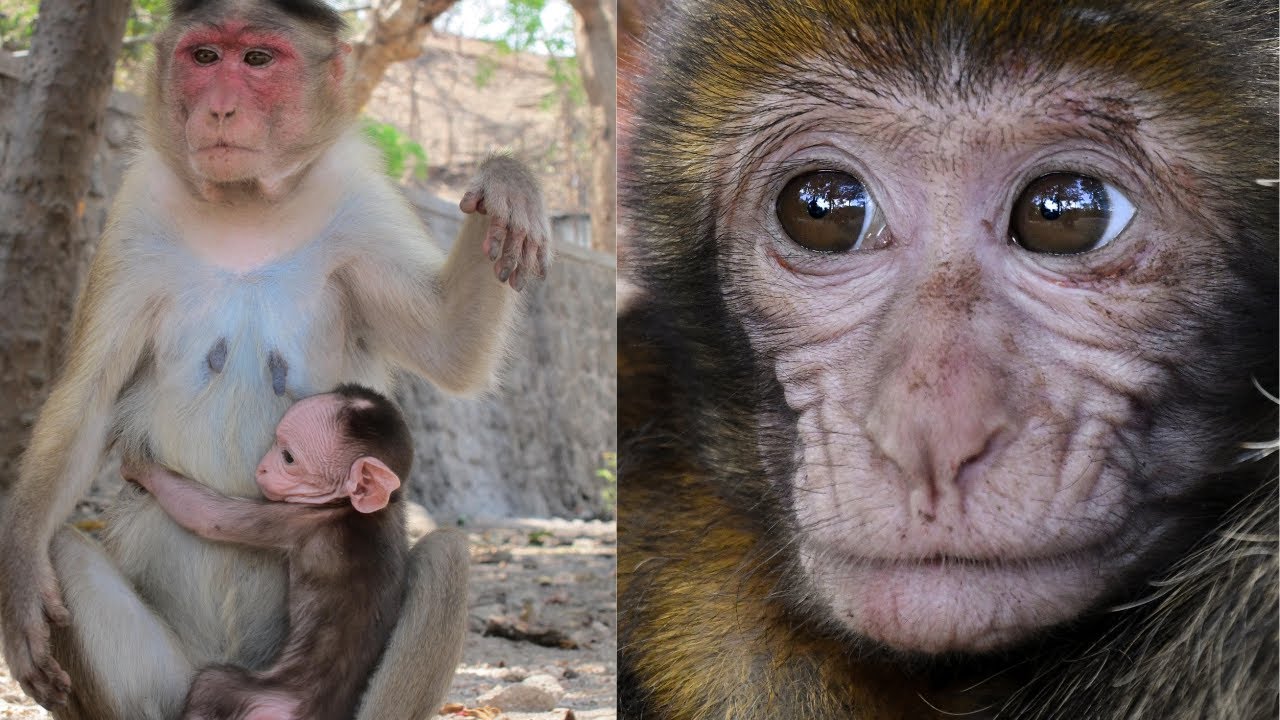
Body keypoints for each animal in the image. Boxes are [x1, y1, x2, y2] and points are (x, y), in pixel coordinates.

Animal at [122, 384, 412, 720]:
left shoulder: (298, 519)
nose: (261, 467)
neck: (353, 508)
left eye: (288, 457)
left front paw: (141, 467)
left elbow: (209, 516)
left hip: (264, 700)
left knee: (212, 684)